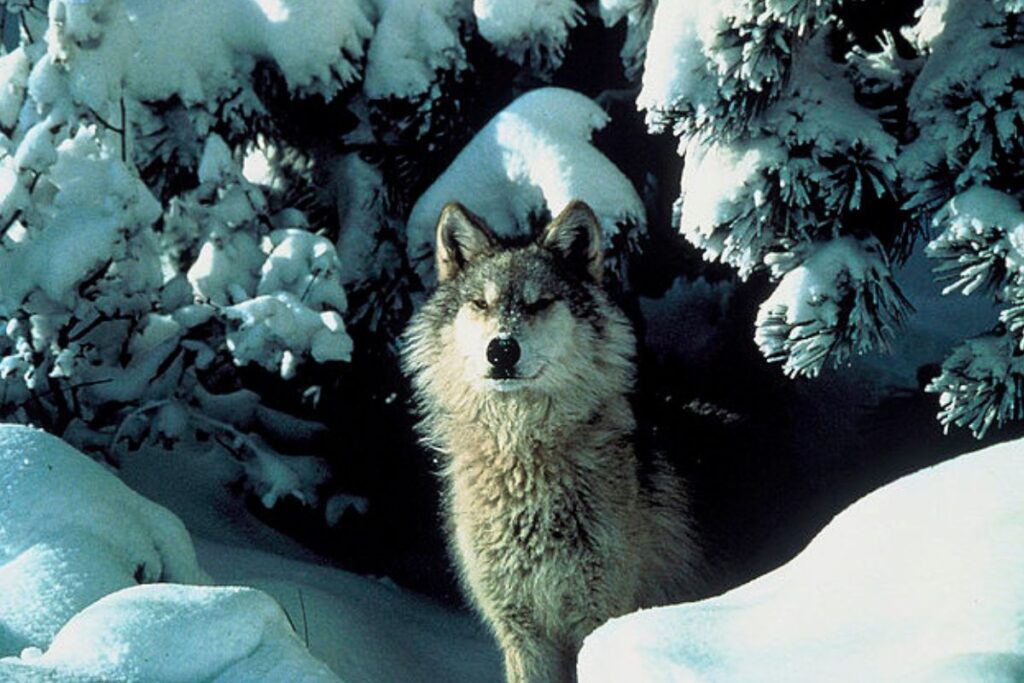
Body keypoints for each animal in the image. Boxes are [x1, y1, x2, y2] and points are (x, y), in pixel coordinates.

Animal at [402, 201, 703, 683]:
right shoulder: (522, 633)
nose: (501, 350)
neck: (522, 458)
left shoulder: (598, 618)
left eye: (539, 303)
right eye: (481, 303)